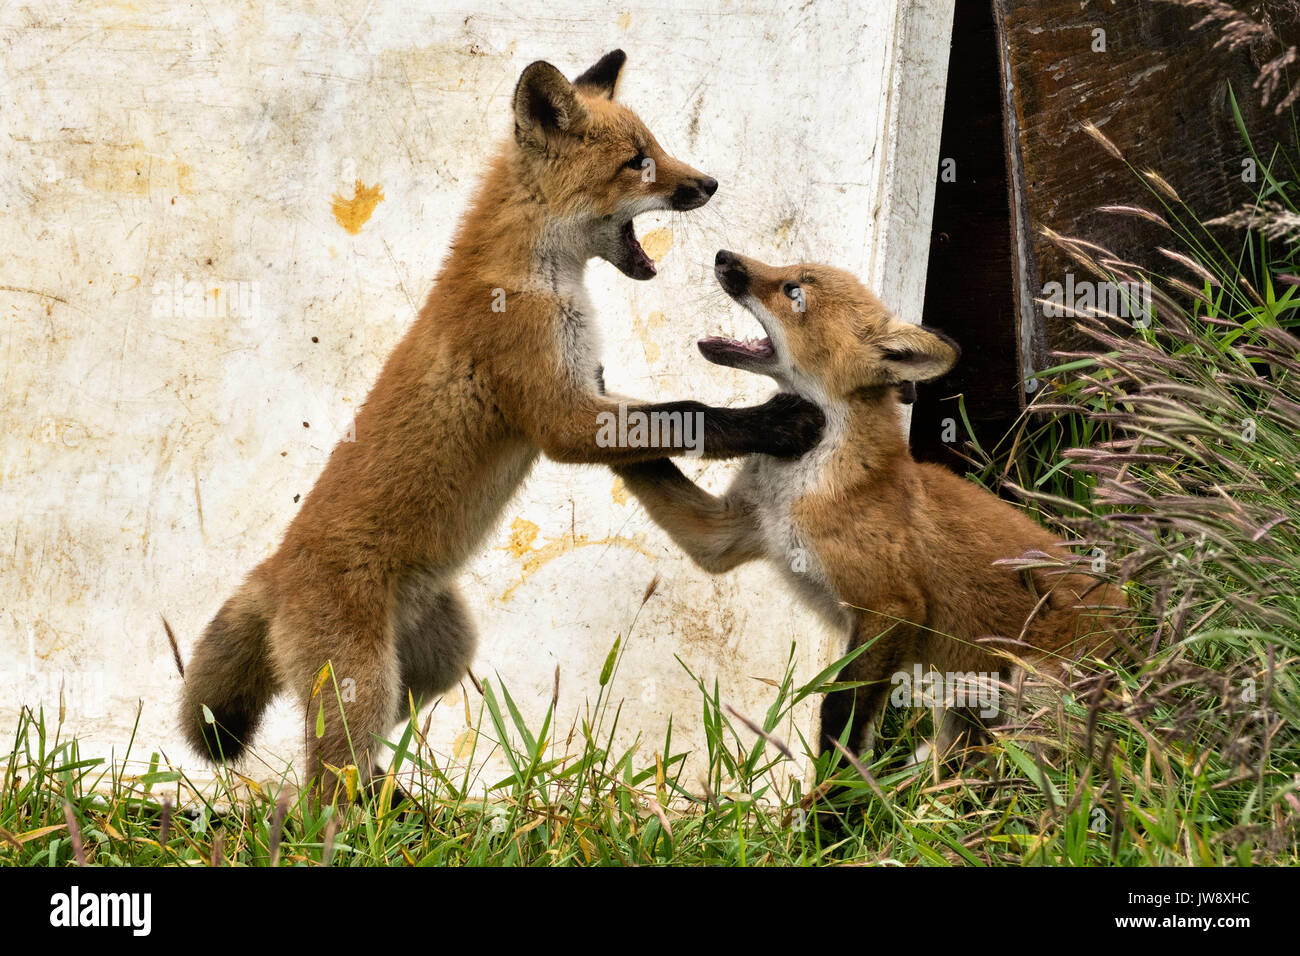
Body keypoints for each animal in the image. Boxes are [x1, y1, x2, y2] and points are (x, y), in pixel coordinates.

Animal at [177, 52, 825, 792]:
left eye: (657, 149)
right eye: (640, 163)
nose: (710, 183)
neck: (533, 278)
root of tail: (272, 568)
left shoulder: (587, 393)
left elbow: (658, 425)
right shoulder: (559, 417)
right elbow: (689, 413)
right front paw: (778, 422)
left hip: (436, 656)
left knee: (364, 760)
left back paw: (397, 801)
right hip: (363, 684)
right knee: (316, 793)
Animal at [613, 250, 1126, 764]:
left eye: (793, 292)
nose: (724, 256)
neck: (804, 481)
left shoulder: (892, 605)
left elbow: (840, 709)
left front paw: (837, 785)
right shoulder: (724, 534)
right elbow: (649, 468)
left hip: (1028, 703)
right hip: (967, 709)